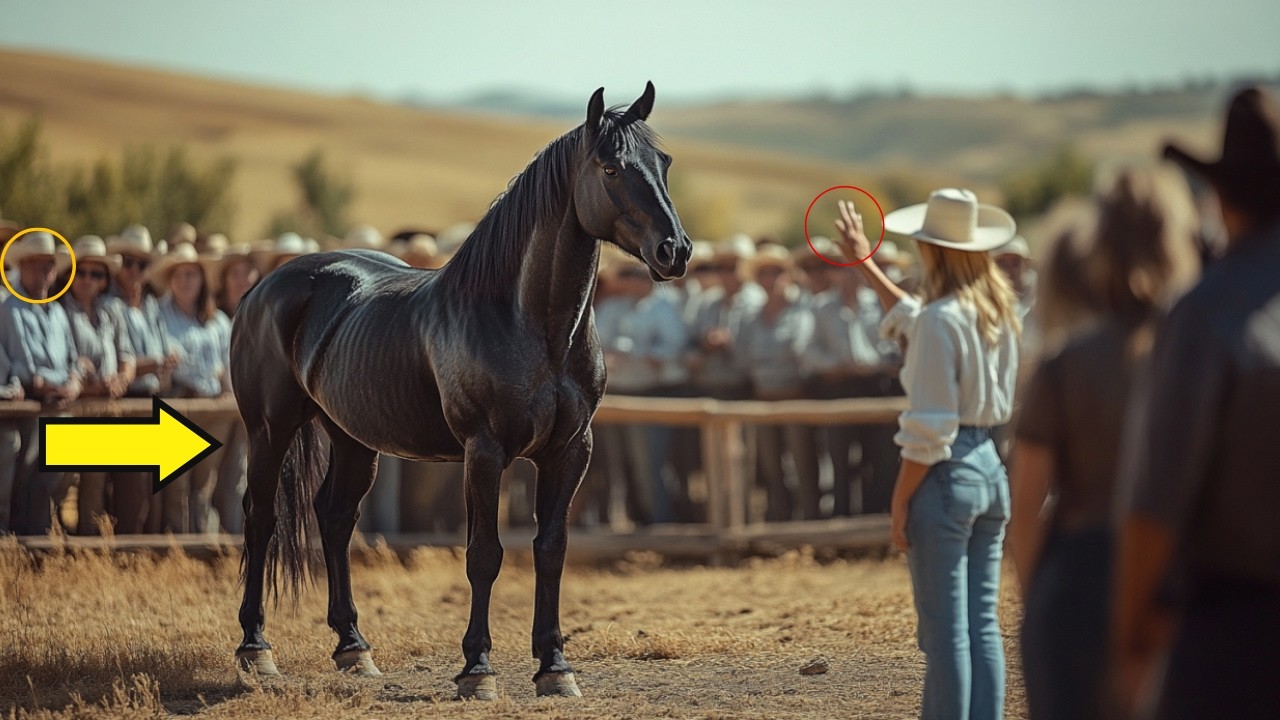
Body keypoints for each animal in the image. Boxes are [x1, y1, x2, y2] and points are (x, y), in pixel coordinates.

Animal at [229, 82, 691, 700]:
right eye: (611, 167)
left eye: (663, 163)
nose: (676, 251)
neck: (525, 322)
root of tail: (265, 285)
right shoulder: (484, 452)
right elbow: (484, 554)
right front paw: (478, 669)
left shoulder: (571, 451)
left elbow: (551, 550)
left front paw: (555, 668)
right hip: (270, 428)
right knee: (261, 518)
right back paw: (257, 650)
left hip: (352, 438)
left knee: (334, 517)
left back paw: (354, 648)